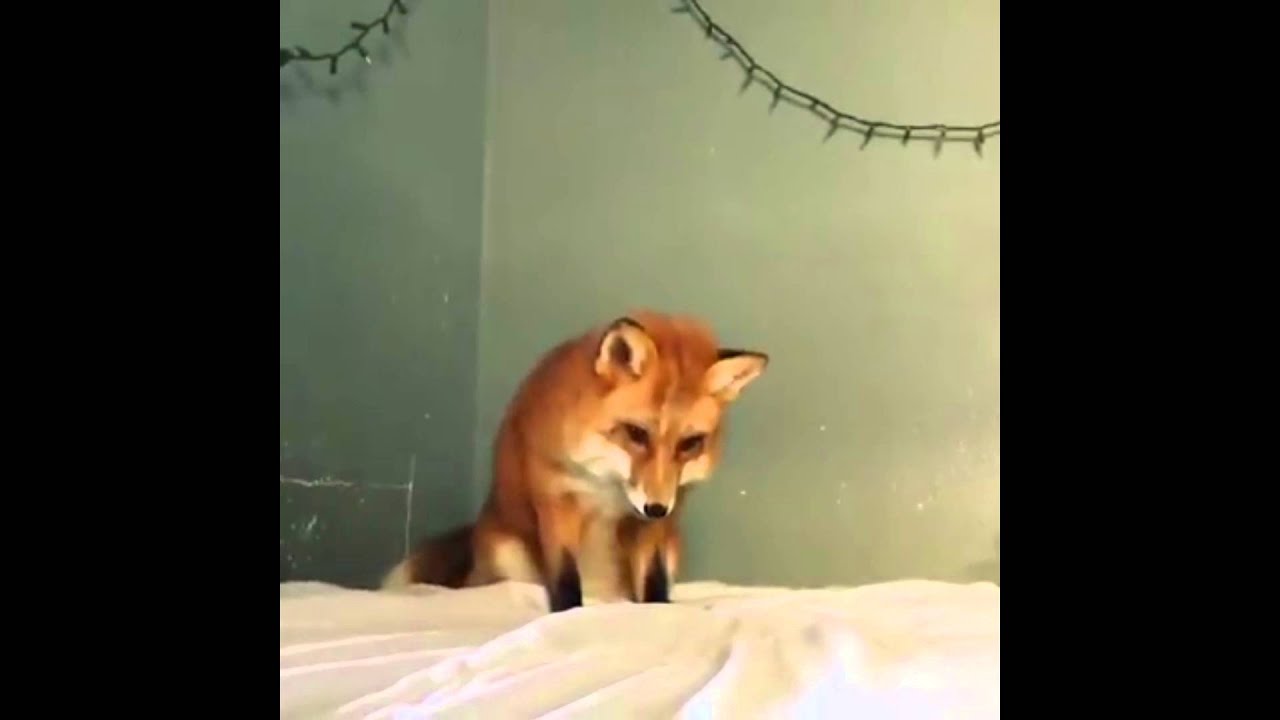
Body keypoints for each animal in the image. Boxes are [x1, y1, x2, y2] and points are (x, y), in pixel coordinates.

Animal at [381, 310, 768, 611]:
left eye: (689, 444)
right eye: (636, 433)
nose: (657, 508)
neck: (608, 485)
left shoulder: (655, 522)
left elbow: (653, 584)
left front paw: (659, 612)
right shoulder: (556, 498)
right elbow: (565, 578)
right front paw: (568, 615)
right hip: (508, 556)